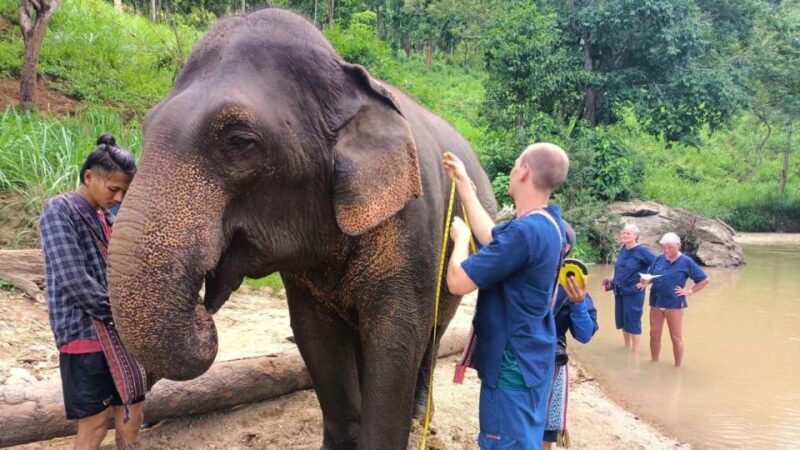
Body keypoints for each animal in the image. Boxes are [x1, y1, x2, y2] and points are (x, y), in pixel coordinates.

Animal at [107, 8, 495, 449]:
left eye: (239, 142)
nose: (204, 308)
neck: (346, 77)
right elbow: (316, 339)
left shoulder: (414, 229)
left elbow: (396, 342)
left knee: (434, 332)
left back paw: (418, 416)